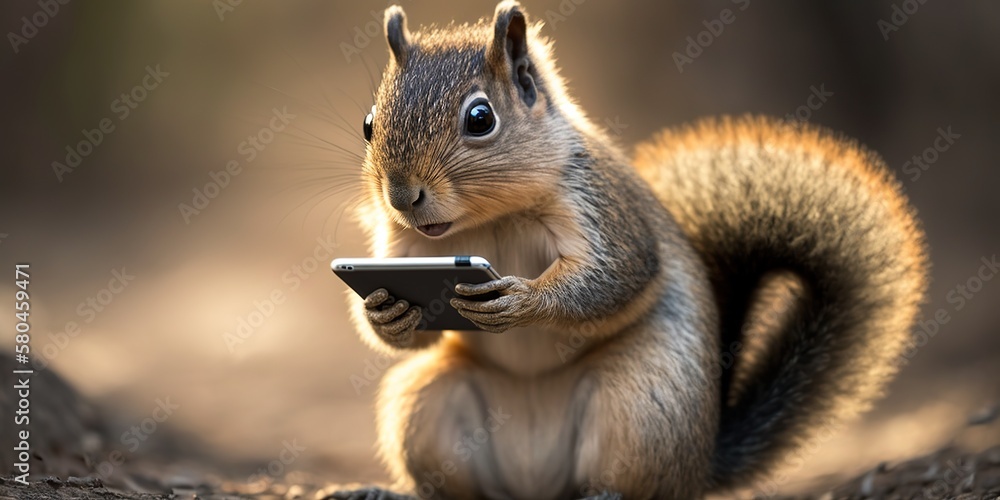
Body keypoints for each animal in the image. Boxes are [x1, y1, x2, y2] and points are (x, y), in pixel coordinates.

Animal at [336, 2, 929, 499]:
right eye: (368, 123)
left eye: (481, 119)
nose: (402, 195)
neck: (489, 218)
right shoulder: (402, 243)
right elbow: (408, 334)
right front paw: (385, 311)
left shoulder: (602, 205)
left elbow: (616, 273)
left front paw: (523, 300)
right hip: (427, 404)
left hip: (642, 403)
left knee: (638, 485)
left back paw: (603, 494)